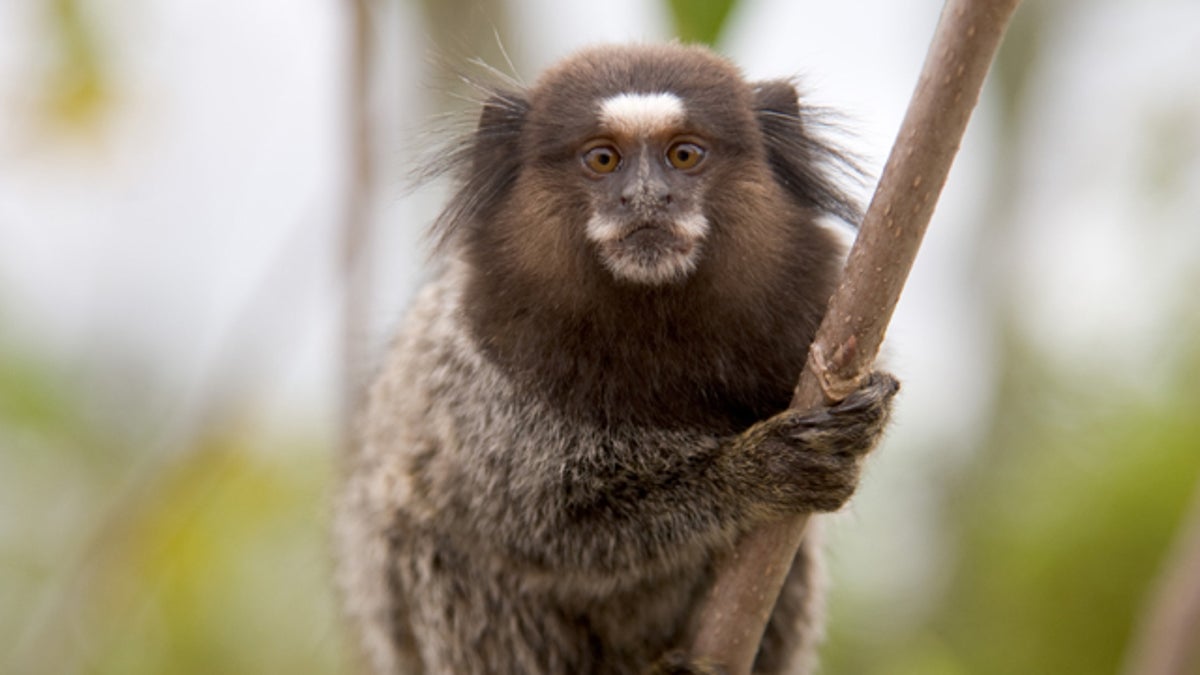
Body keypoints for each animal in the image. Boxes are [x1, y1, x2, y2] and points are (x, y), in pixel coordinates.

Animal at [334, 43, 899, 675]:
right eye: (603, 159)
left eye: (684, 154)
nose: (646, 198)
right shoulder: (486, 381)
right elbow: (550, 526)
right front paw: (754, 471)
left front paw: (867, 415)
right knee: (434, 542)